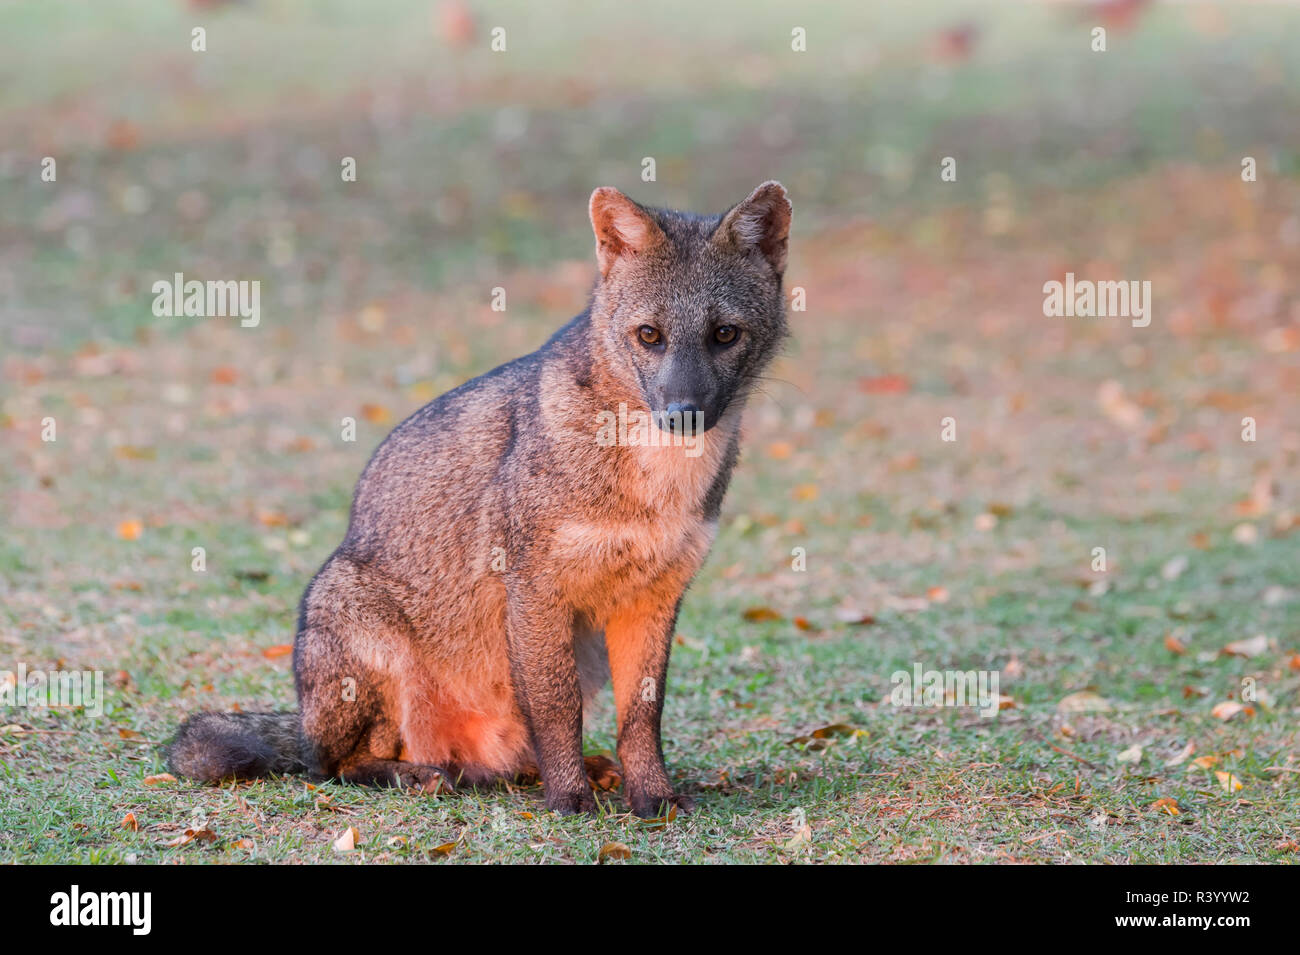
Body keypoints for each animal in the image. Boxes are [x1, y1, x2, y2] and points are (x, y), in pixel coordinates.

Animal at [167, 181, 792, 816]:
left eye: (724, 334)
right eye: (650, 336)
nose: (681, 414)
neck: (657, 482)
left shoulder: (654, 598)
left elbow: (641, 716)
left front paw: (653, 797)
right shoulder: (535, 587)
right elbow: (557, 706)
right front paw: (569, 800)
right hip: (361, 631)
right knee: (330, 767)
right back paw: (417, 775)